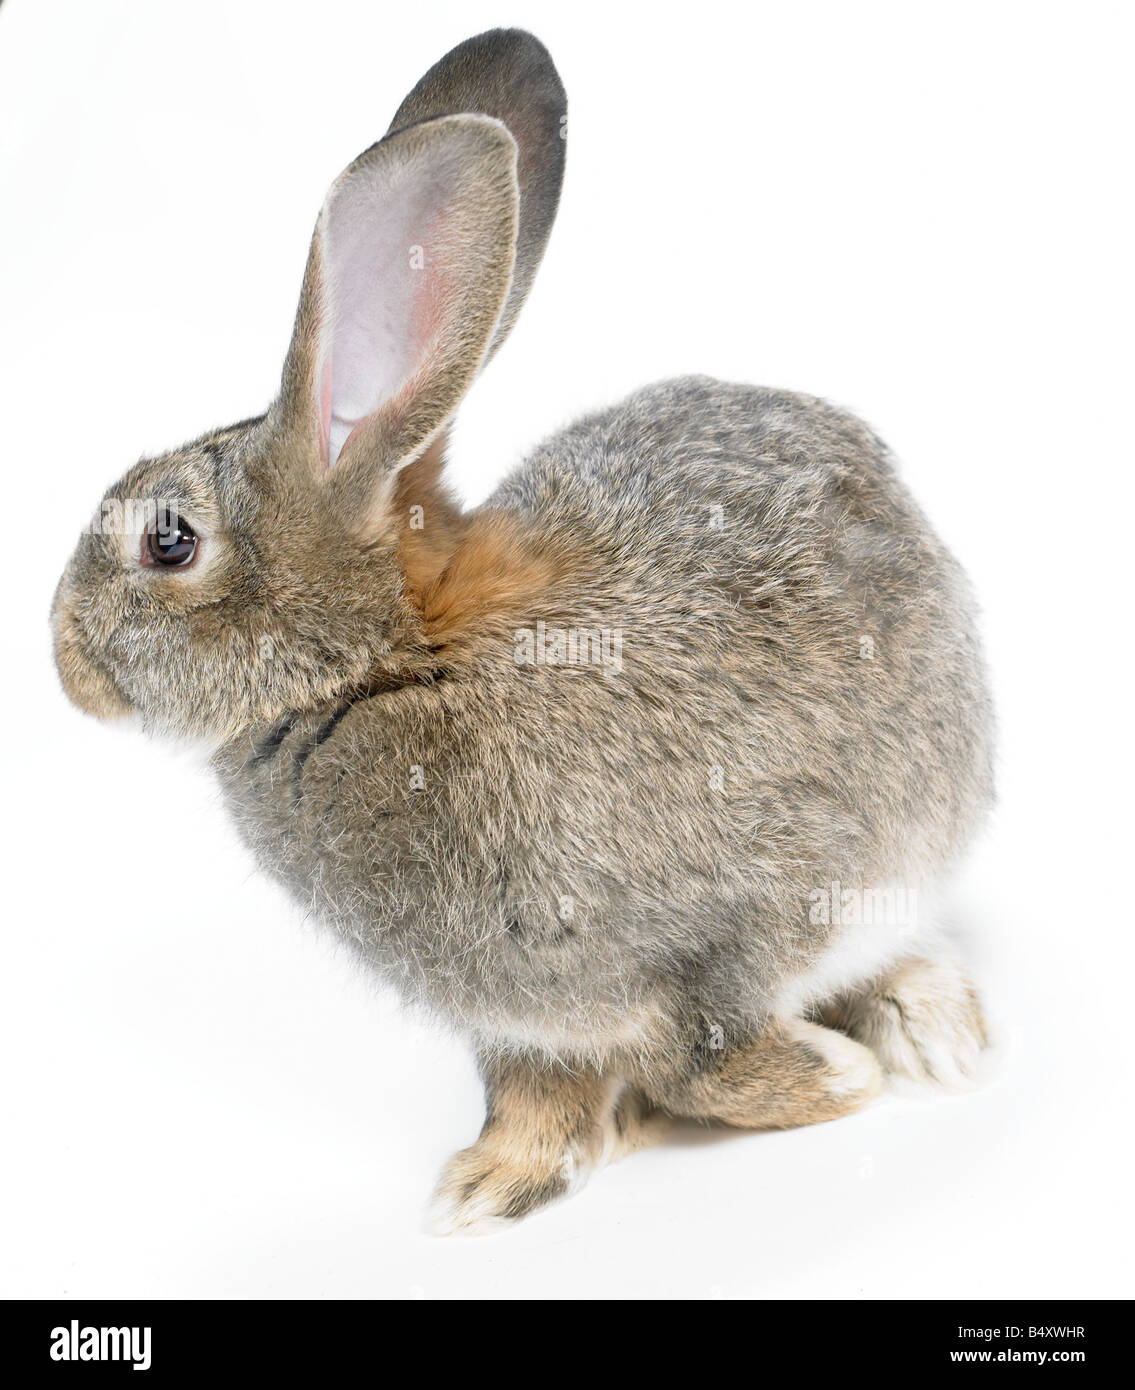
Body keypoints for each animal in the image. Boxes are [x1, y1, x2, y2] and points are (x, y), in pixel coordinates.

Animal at [52, 28, 994, 1234]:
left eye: (168, 541)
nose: (62, 658)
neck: (390, 664)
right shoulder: (523, 1028)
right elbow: (535, 1095)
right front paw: (490, 1187)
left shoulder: (737, 925)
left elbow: (704, 1052)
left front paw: (837, 1079)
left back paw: (934, 1031)